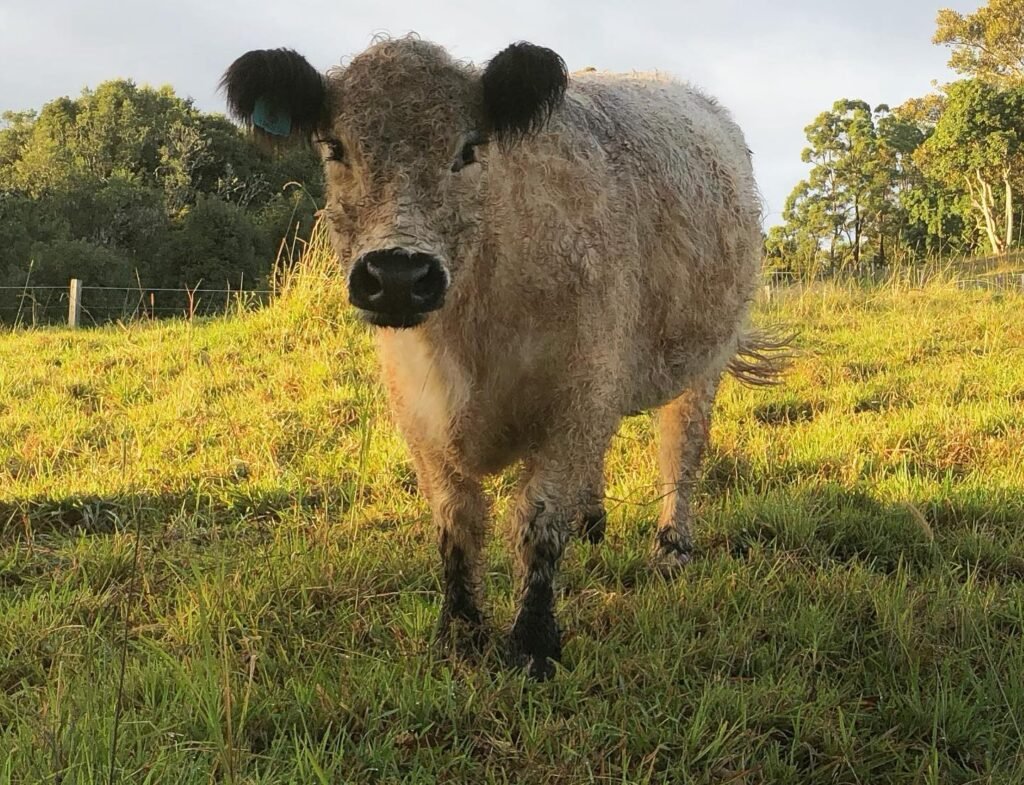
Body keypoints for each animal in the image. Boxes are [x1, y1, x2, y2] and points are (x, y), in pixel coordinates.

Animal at [222, 35, 787, 680]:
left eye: (469, 148)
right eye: (336, 146)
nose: (397, 277)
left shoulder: (574, 397)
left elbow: (538, 521)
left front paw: (533, 641)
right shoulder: (418, 416)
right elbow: (457, 522)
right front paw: (460, 634)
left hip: (702, 359)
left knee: (680, 450)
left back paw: (671, 549)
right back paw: (592, 521)